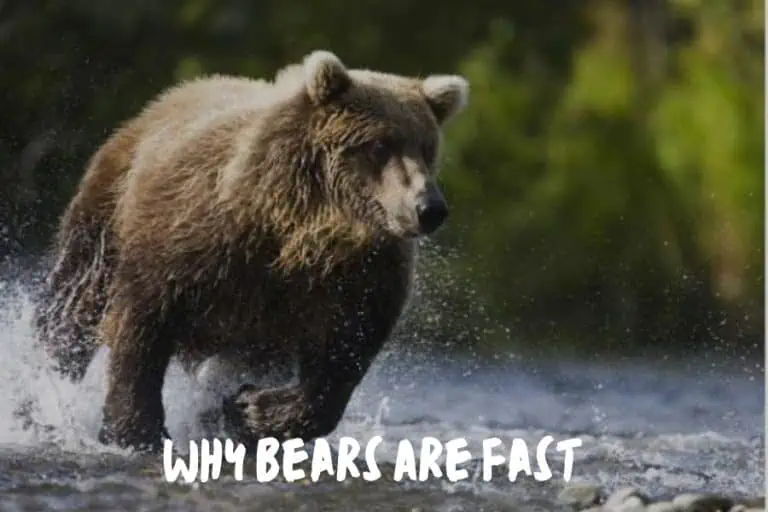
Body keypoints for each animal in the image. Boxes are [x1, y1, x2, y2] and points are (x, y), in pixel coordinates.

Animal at [34, 50, 470, 453]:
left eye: (427, 148)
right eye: (380, 144)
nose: (429, 208)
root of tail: (168, 97)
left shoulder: (357, 275)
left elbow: (343, 353)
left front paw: (249, 410)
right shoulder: (192, 237)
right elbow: (143, 323)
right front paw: (136, 432)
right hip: (107, 209)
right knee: (74, 303)